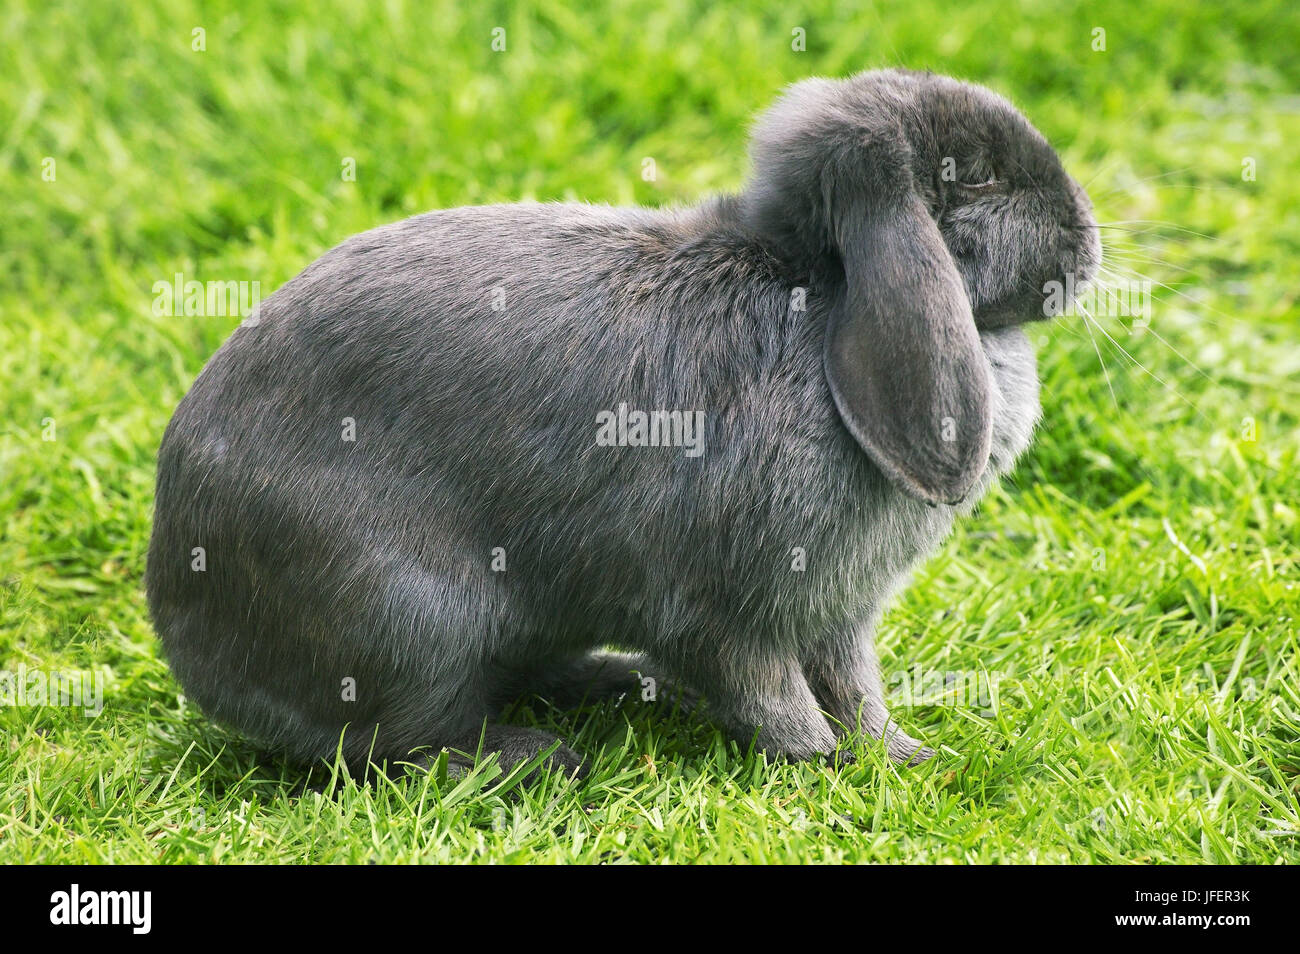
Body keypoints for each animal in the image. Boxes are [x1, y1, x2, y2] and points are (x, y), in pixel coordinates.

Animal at [147, 68, 1100, 777]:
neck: (821, 293)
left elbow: (855, 685)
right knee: (392, 744)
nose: (1086, 241)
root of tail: (187, 626)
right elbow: (768, 691)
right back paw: (530, 758)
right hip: (410, 621)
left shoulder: (836, 612)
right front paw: (821, 762)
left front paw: (900, 754)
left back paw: (621, 686)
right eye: (975, 175)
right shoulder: (728, 605)